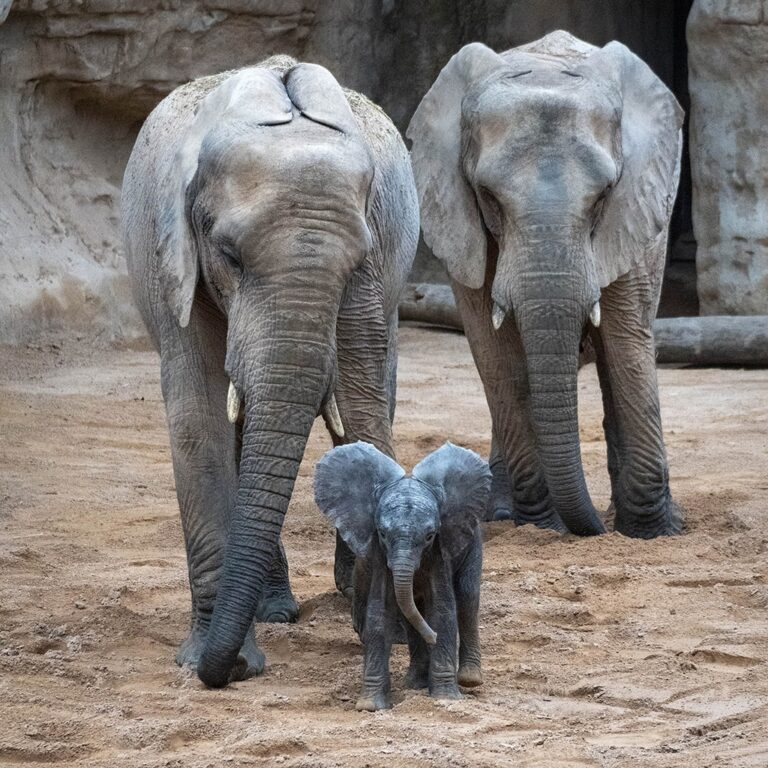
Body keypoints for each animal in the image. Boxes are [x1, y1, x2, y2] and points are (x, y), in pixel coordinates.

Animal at [120, 56, 419, 688]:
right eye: (229, 256)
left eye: (356, 262)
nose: (222, 670)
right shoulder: (173, 262)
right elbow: (200, 415)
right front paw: (217, 661)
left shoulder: (374, 263)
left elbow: (361, 402)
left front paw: (389, 628)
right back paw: (275, 611)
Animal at [314, 441, 491, 711]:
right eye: (382, 533)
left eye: (430, 535)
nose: (432, 637)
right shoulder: (379, 554)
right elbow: (380, 612)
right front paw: (370, 706)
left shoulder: (440, 550)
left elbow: (442, 611)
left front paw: (445, 697)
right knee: (411, 611)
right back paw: (415, 683)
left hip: (472, 540)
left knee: (467, 598)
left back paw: (469, 679)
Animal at [407, 30, 684, 539]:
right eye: (488, 196)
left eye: (603, 197)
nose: (593, 530)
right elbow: (495, 354)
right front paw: (540, 527)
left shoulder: (636, 211)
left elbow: (626, 345)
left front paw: (653, 533)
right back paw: (500, 514)